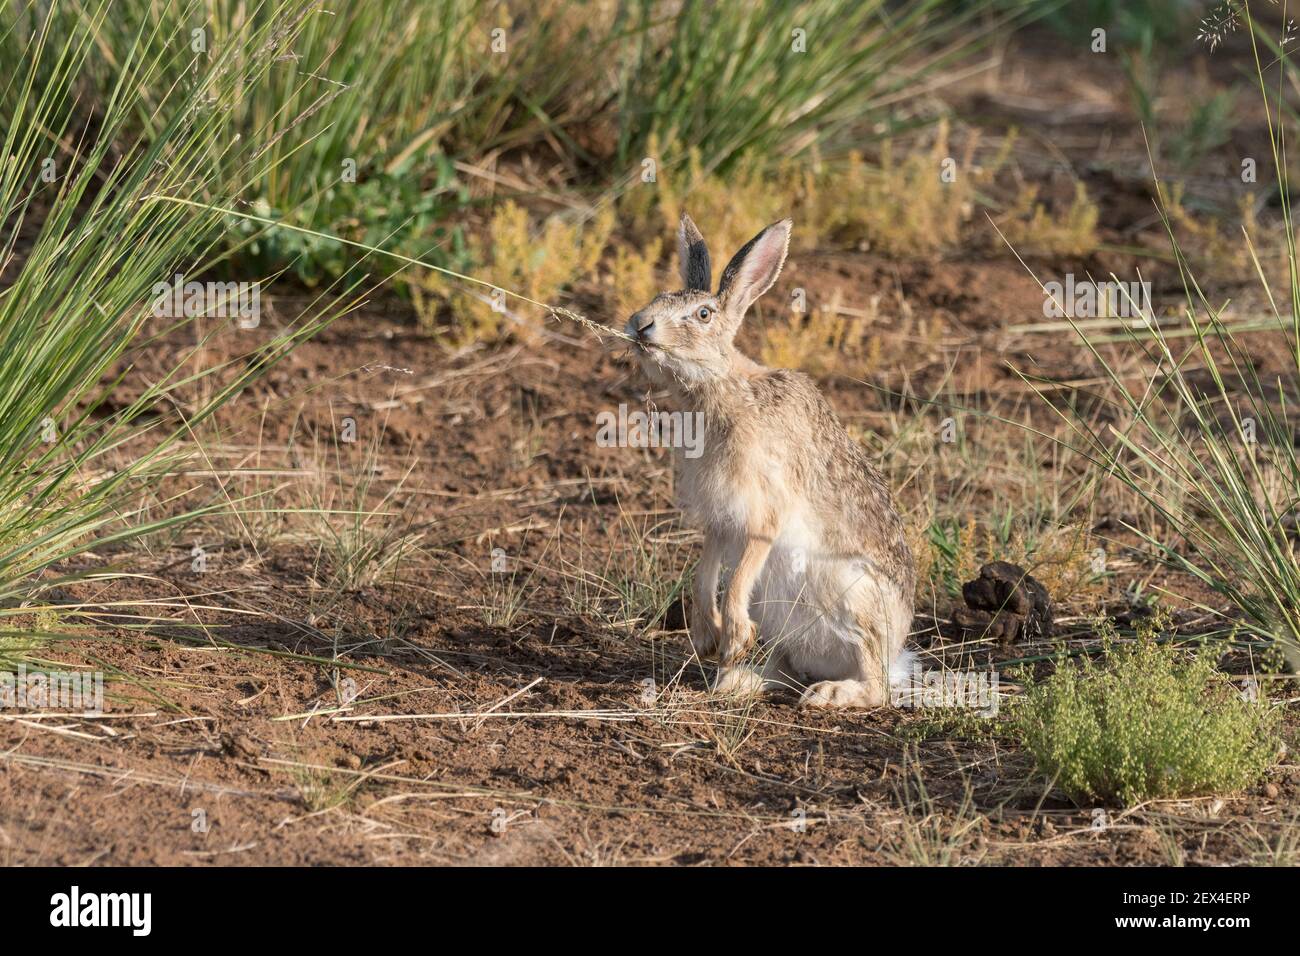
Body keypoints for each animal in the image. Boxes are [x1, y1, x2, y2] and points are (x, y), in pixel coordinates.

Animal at [623, 213, 915, 708]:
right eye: (659, 297)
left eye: (703, 315)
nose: (641, 325)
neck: (721, 387)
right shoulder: (719, 519)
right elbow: (704, 573)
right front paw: (708, 636)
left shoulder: (764, 512)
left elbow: (738, 574)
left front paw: (732, 637)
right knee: (785, 673)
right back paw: (738, 681)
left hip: (854, 600)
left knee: (874, 685)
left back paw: (829, 693)